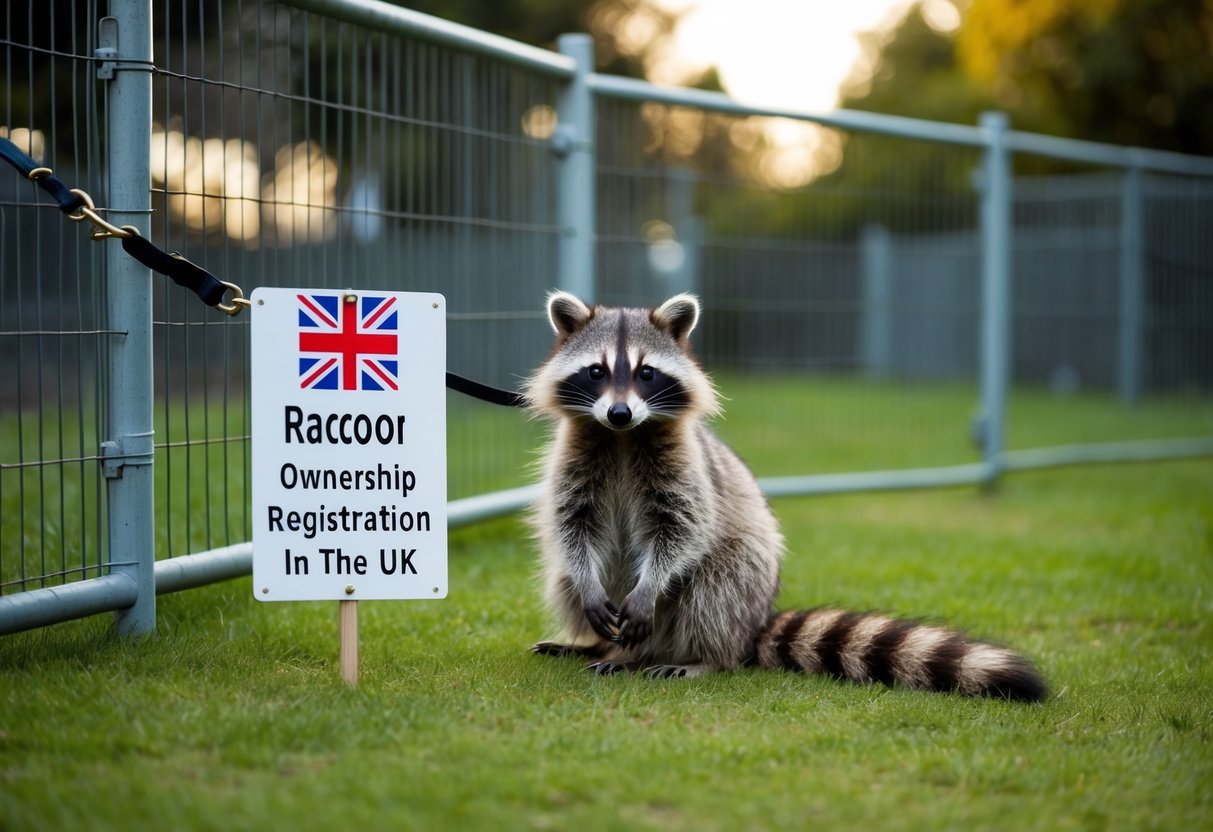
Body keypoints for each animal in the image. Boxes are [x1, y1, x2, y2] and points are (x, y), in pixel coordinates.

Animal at [523, 291, 1046, 701]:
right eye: (597, 371)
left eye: (646, 373)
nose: (619, 412)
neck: (622, 438)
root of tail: (752, 625)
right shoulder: (576, 460)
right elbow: (572, 526)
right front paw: (589, 595)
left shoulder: (687, 470)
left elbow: (682, 531)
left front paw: (651, 587)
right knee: (564, 578)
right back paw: (597, 643)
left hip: (742, 586)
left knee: (717, 584)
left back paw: (694, 657)